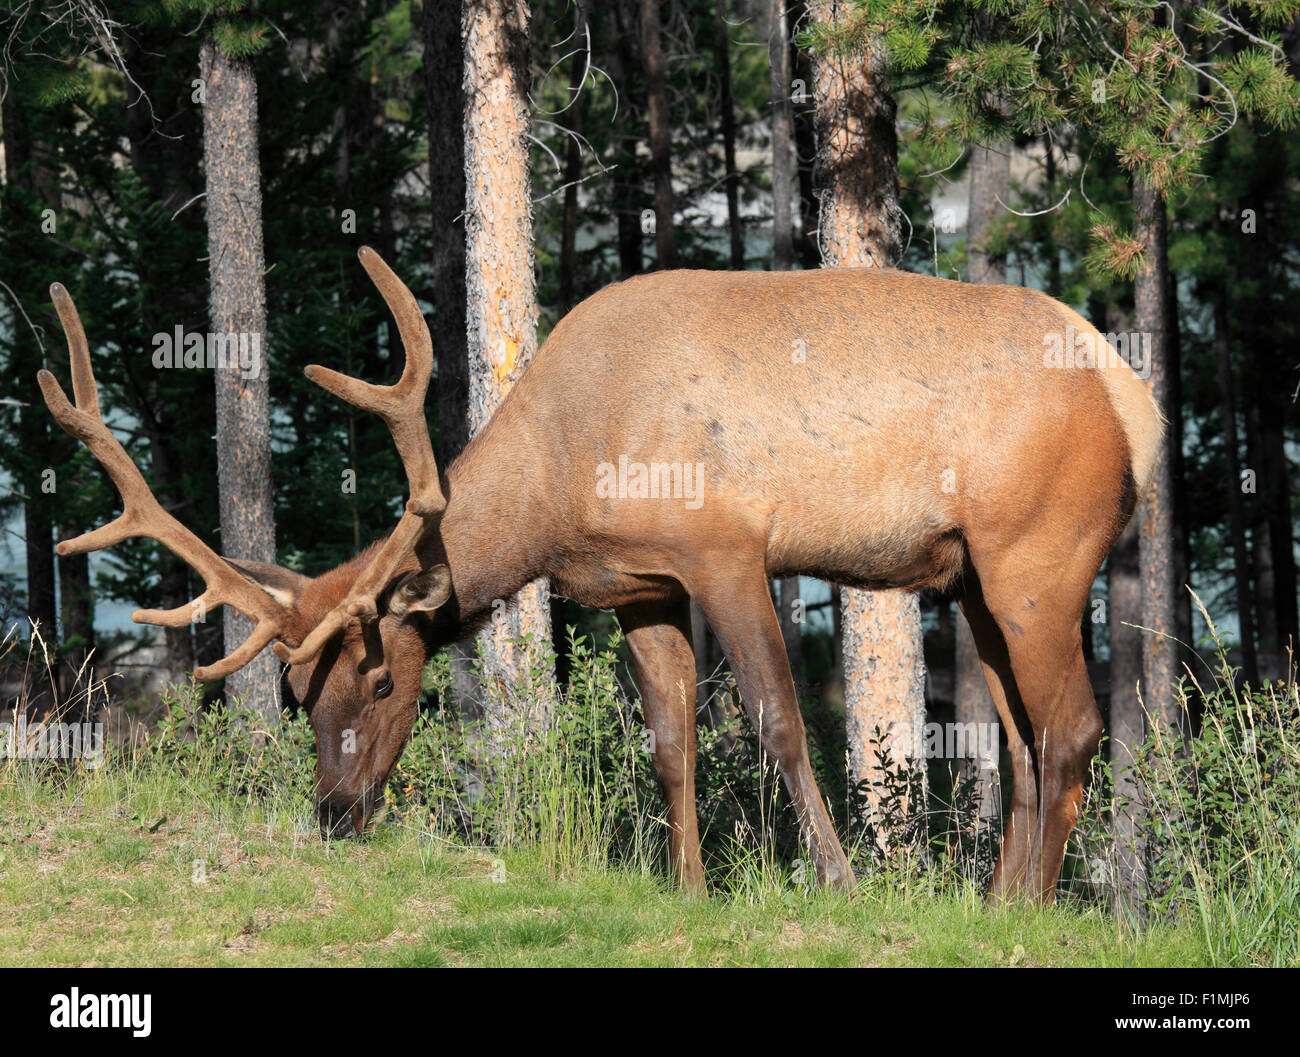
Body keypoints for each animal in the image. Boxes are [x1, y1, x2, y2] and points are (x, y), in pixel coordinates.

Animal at [38, 246, 1161, 903]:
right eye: (295, 693)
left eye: (385, 677)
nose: (335, 810)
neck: (565, 478)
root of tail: (1134, 400)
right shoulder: (641, 586)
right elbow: (668, 741)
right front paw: (689, 888)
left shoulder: (724, 546)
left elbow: (778, 723)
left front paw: (837, 882)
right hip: (971, 576)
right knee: (1022, 739)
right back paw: (1000, 902)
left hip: (1037, 550)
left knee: (1073, 727)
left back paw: (1029, 905)